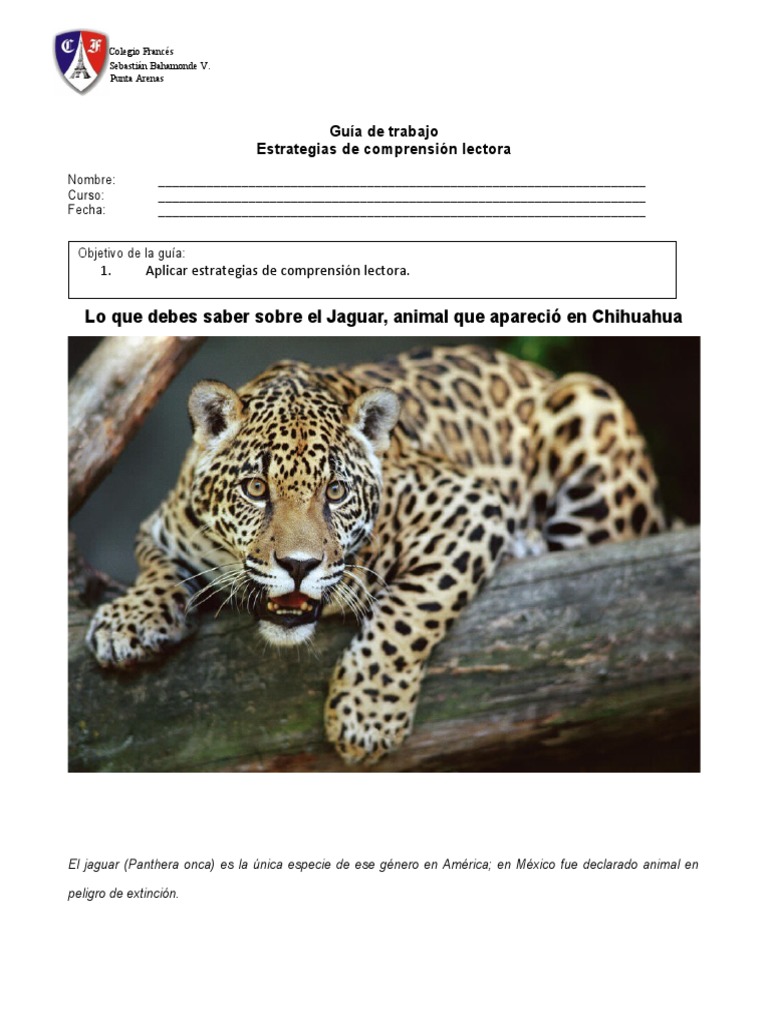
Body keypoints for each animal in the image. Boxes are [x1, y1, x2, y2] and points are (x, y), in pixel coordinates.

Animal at [86, 344, 666, 765]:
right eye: (255, 488)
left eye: (336, 492)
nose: (298, 566)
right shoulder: (163, 525)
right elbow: (153, 565)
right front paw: (127, 620)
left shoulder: (470, 502)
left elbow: (413, 612)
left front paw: (366, 716)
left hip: (589, 400)